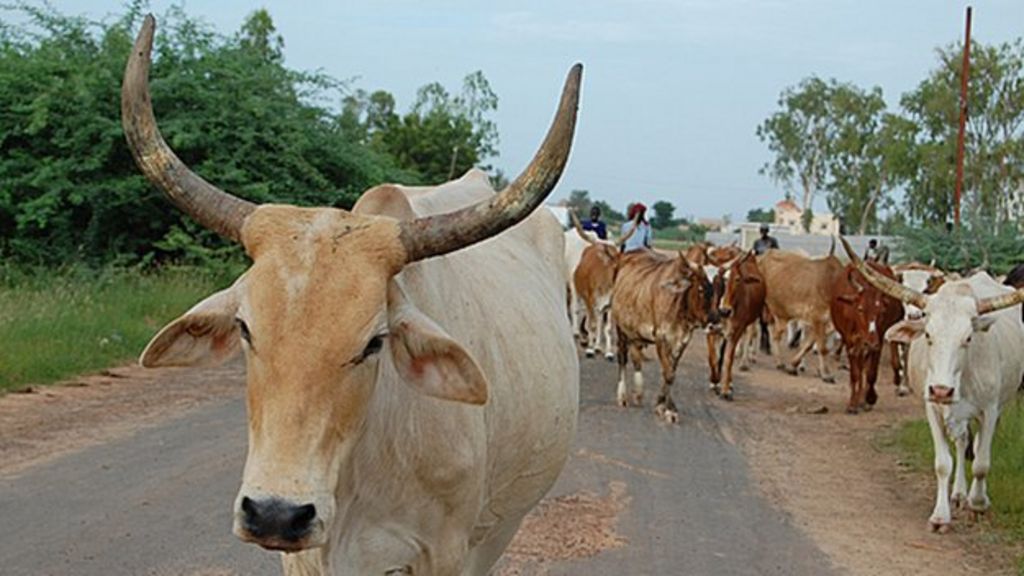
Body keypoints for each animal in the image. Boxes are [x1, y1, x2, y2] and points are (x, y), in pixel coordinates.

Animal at [123, 17, 582, 575]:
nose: (275, 513)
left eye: (374, 342)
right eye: (246, 328)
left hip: (502, 525)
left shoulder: (444, 551)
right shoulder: (303, 555)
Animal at [611, 250, 716, 423]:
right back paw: (622, 396)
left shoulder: (682, 341)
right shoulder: (661, 338)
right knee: (622, 359)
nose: (714, 319)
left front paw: (666, 407)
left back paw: (638, 393)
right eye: (700, 289)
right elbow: (669, 374)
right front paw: (664, 408)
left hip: (635, 333)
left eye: (713, 290)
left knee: (637, 358)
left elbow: (671, 372)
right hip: (621, 329)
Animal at [757, 244, 844, 383]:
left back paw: (779, 361)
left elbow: (808, 345)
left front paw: (794, 366)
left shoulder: (820, 322)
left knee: (774, 333)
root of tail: (762, 256)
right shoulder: (817, 318)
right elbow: (822, 348)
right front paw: (826, 375)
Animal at [829, 262, 903, 413]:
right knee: (860, 365)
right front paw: (853, 403)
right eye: (860, 309)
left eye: (881, 311)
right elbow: (855, 373)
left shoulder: (878, 341)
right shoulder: (850, 341)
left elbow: (871, 372)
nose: (871, 342)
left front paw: (870, 397)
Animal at [841, 238, 1024, 532]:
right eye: (928, 334)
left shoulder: (990, 409)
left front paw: (978, 504)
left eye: (968, 338)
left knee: (976, 447)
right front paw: (940, 515)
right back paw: (958, 493)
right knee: (962, 442)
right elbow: (943, 464)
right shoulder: (933, 408)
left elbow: (982, 463)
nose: (941, 389)